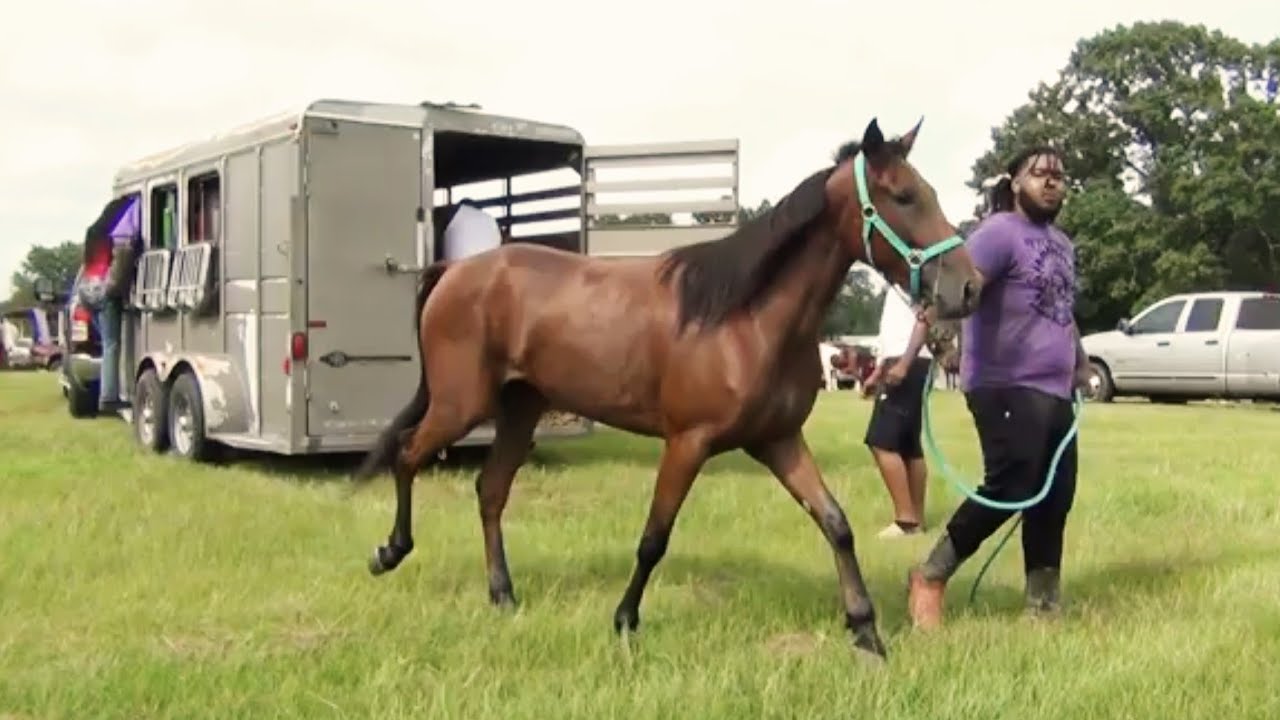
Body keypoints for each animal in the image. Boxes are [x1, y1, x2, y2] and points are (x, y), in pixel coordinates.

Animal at [350, 117, 985, 661]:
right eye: (903, 196)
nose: (971, 286)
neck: (745, 317)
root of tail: (455, 272)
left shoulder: (778, 440)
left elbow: (836, 523)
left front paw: (866, 631)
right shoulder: (687, 442)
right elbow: (654, 537)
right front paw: (625, 620)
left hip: (519, 408)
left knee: (490, 490)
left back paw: (502, 594)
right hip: (461, 404)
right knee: (407, 454)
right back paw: (389, 552)